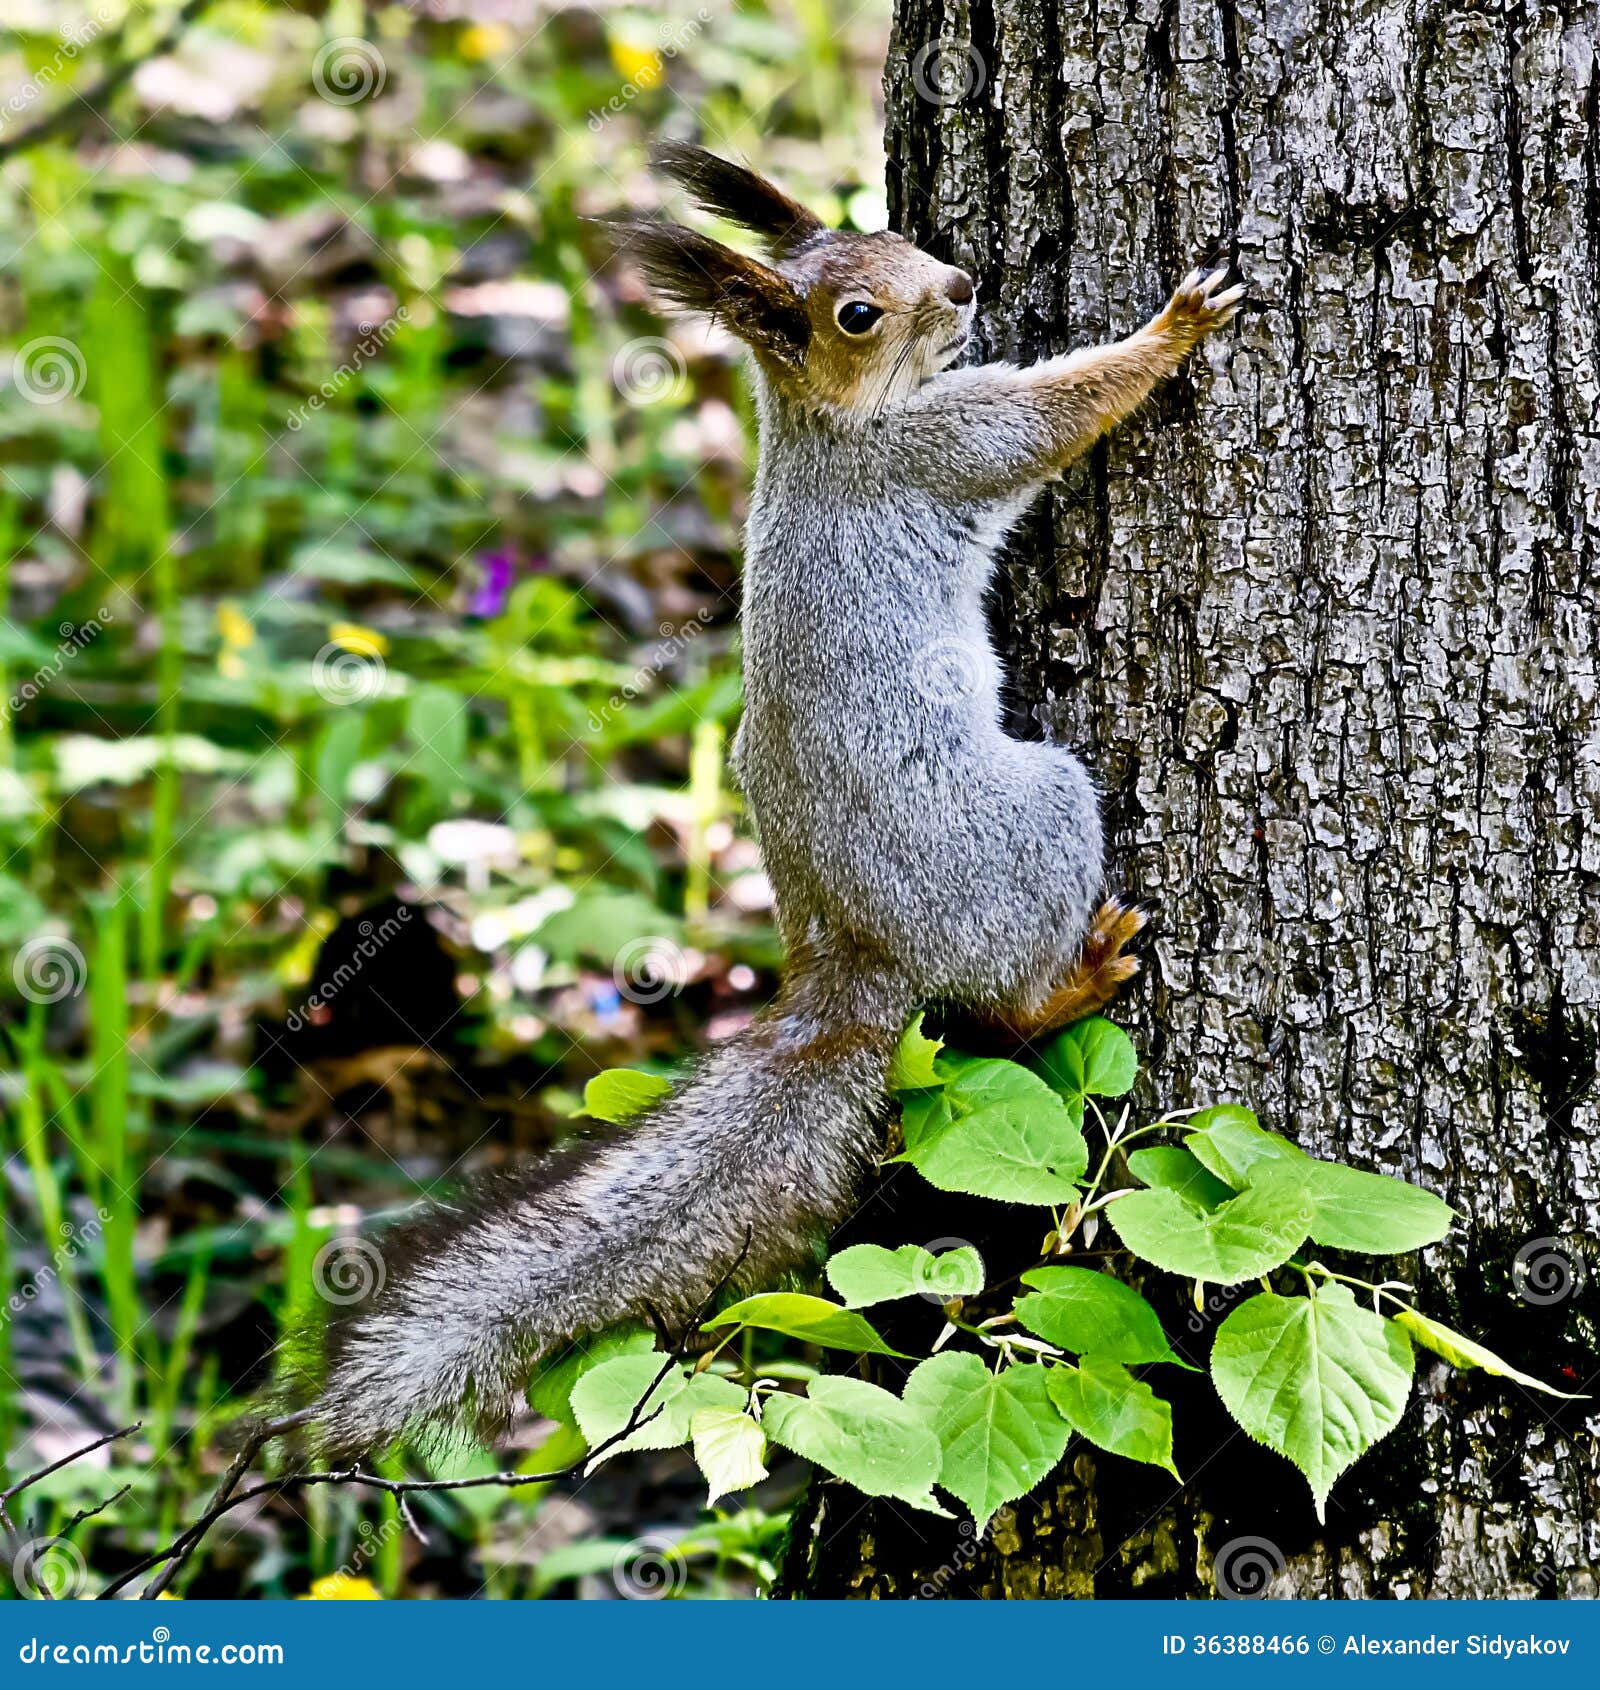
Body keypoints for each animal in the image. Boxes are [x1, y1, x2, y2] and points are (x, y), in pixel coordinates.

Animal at [307, 145, 1244, 1458]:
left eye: (890, 236)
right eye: (854, 315)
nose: (961, 285)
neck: (829, 422)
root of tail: (849, 956)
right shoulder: (945, 443)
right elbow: (1049, 414)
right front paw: (1173, 326)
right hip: (1028, 822)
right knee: (1003, 1004)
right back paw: (1075, 975)